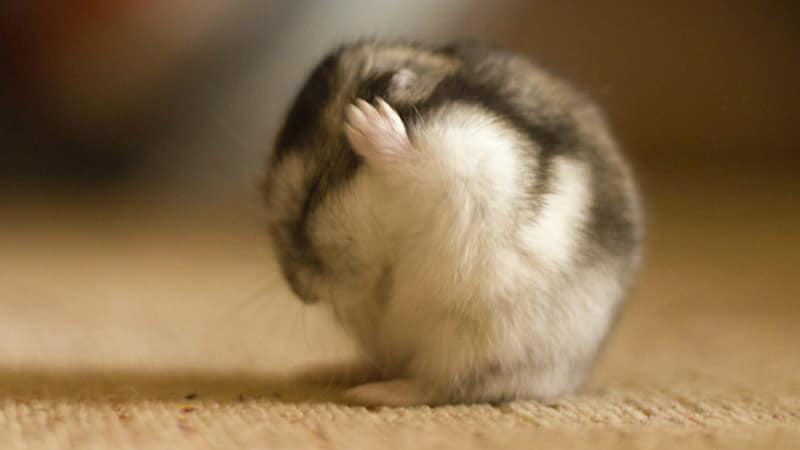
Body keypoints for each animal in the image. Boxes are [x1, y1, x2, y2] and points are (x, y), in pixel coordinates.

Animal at [263, 40, 643, 406]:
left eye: (312, 194)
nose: (301, 292)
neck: (394, 225)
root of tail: (570, 380)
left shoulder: (472, 160)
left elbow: (419, 161)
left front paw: (366, 120)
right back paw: (326, 372)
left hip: (479, 345)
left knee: (445, 387)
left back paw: (372, 394)